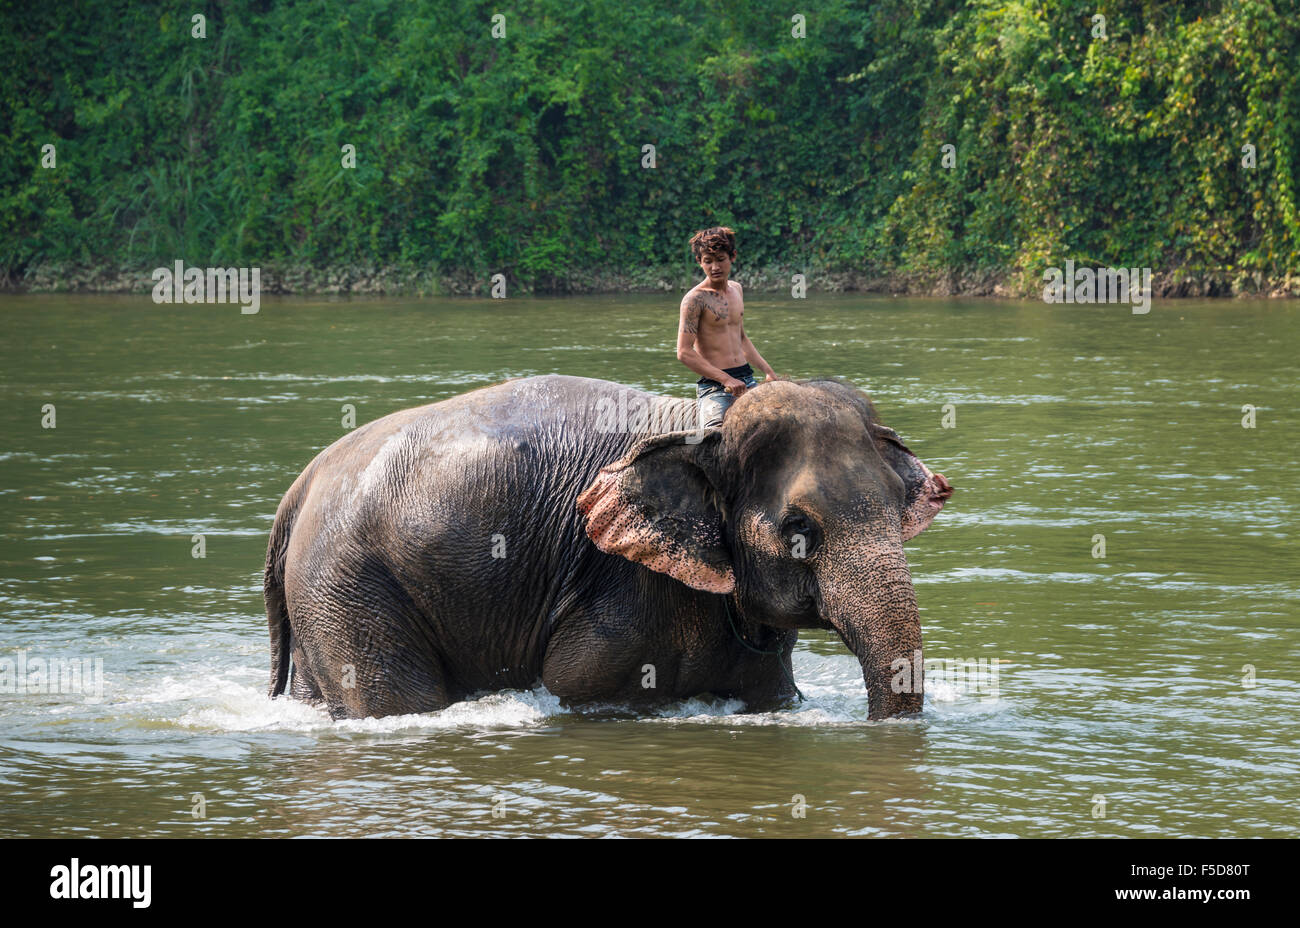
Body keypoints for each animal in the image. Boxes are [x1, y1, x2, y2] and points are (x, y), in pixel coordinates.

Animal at [264, 374, 952, 721]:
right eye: (797, 531)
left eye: (899, 506)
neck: (702, 434)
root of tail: (298, 489)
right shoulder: (623, 589)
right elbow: (581, 682)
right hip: (347, 584)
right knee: (395, 698)